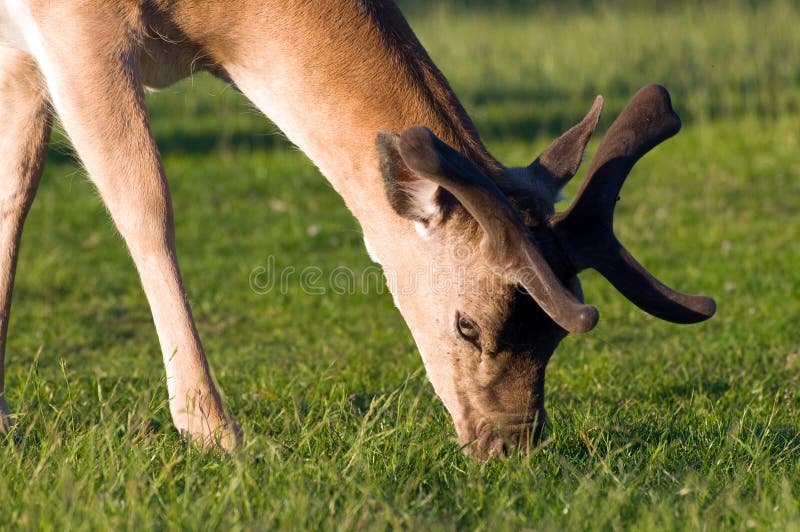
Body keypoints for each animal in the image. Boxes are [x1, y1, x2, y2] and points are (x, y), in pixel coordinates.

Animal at [0, 0, 716, 458]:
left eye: (554, 337)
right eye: (468, 325)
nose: (511, 446)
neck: (209, 30)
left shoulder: (21, 52)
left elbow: (14, 194)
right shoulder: (72, 26)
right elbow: (146, 204)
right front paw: (214, 433)